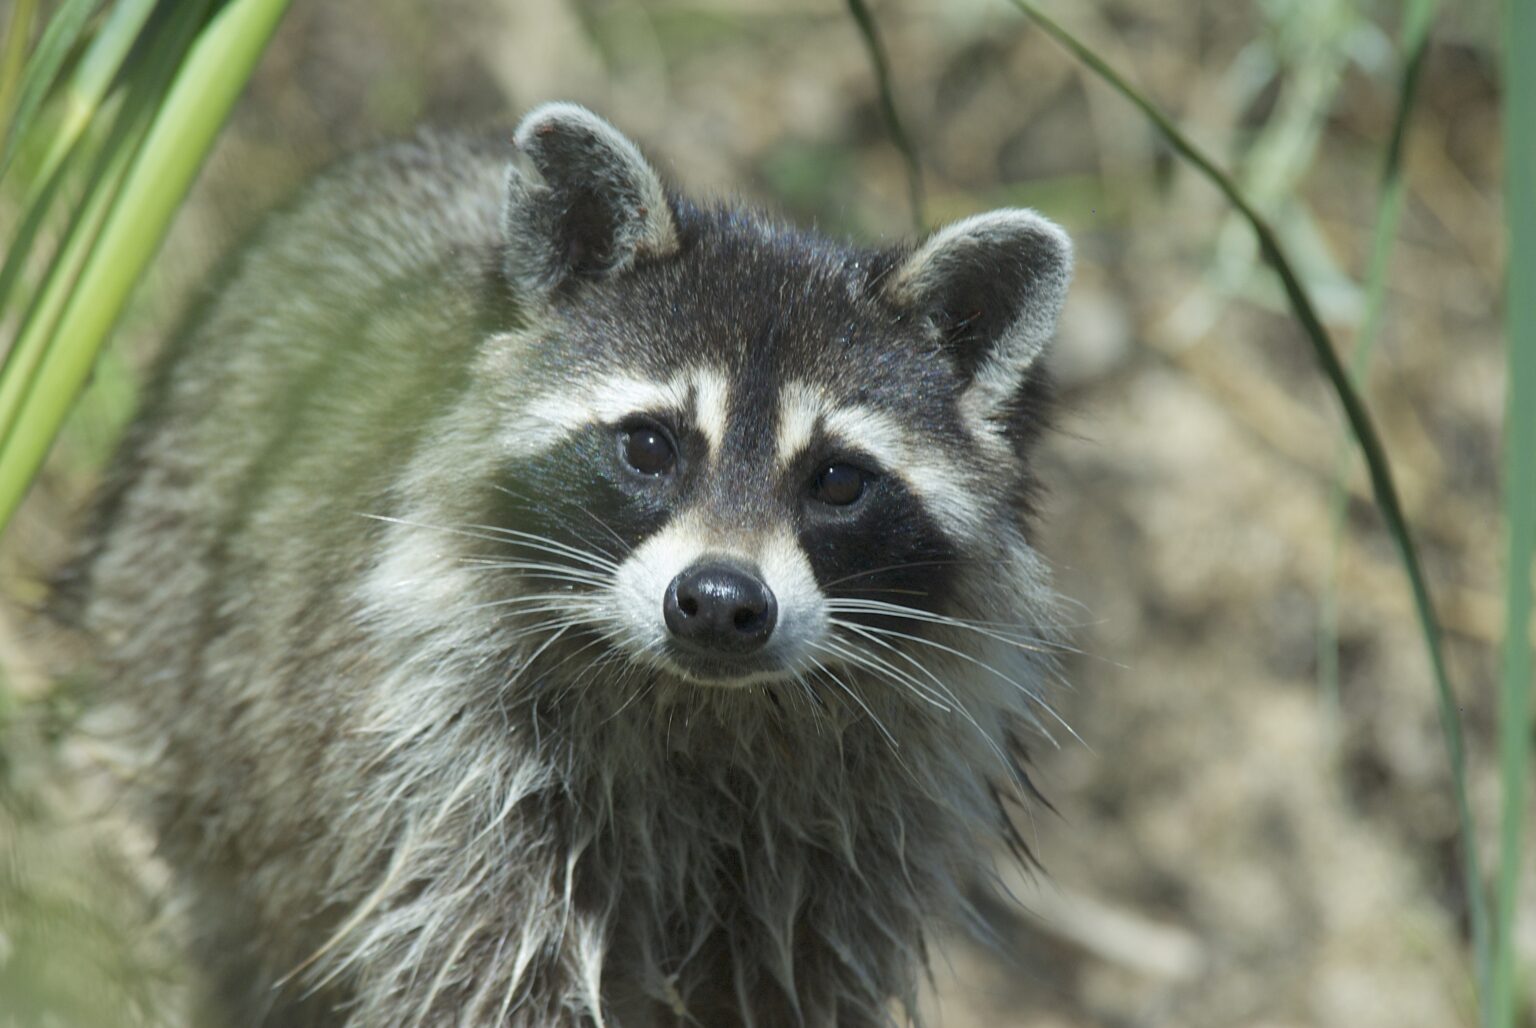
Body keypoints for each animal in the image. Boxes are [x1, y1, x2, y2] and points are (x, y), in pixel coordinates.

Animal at [69, 103, 1074, 1027]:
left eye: (837, 481)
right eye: (649, 446)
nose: (719, 602)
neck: (699, 708)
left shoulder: (864, 833)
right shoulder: (449, 768)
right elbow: (481, 968)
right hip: (162, 604)